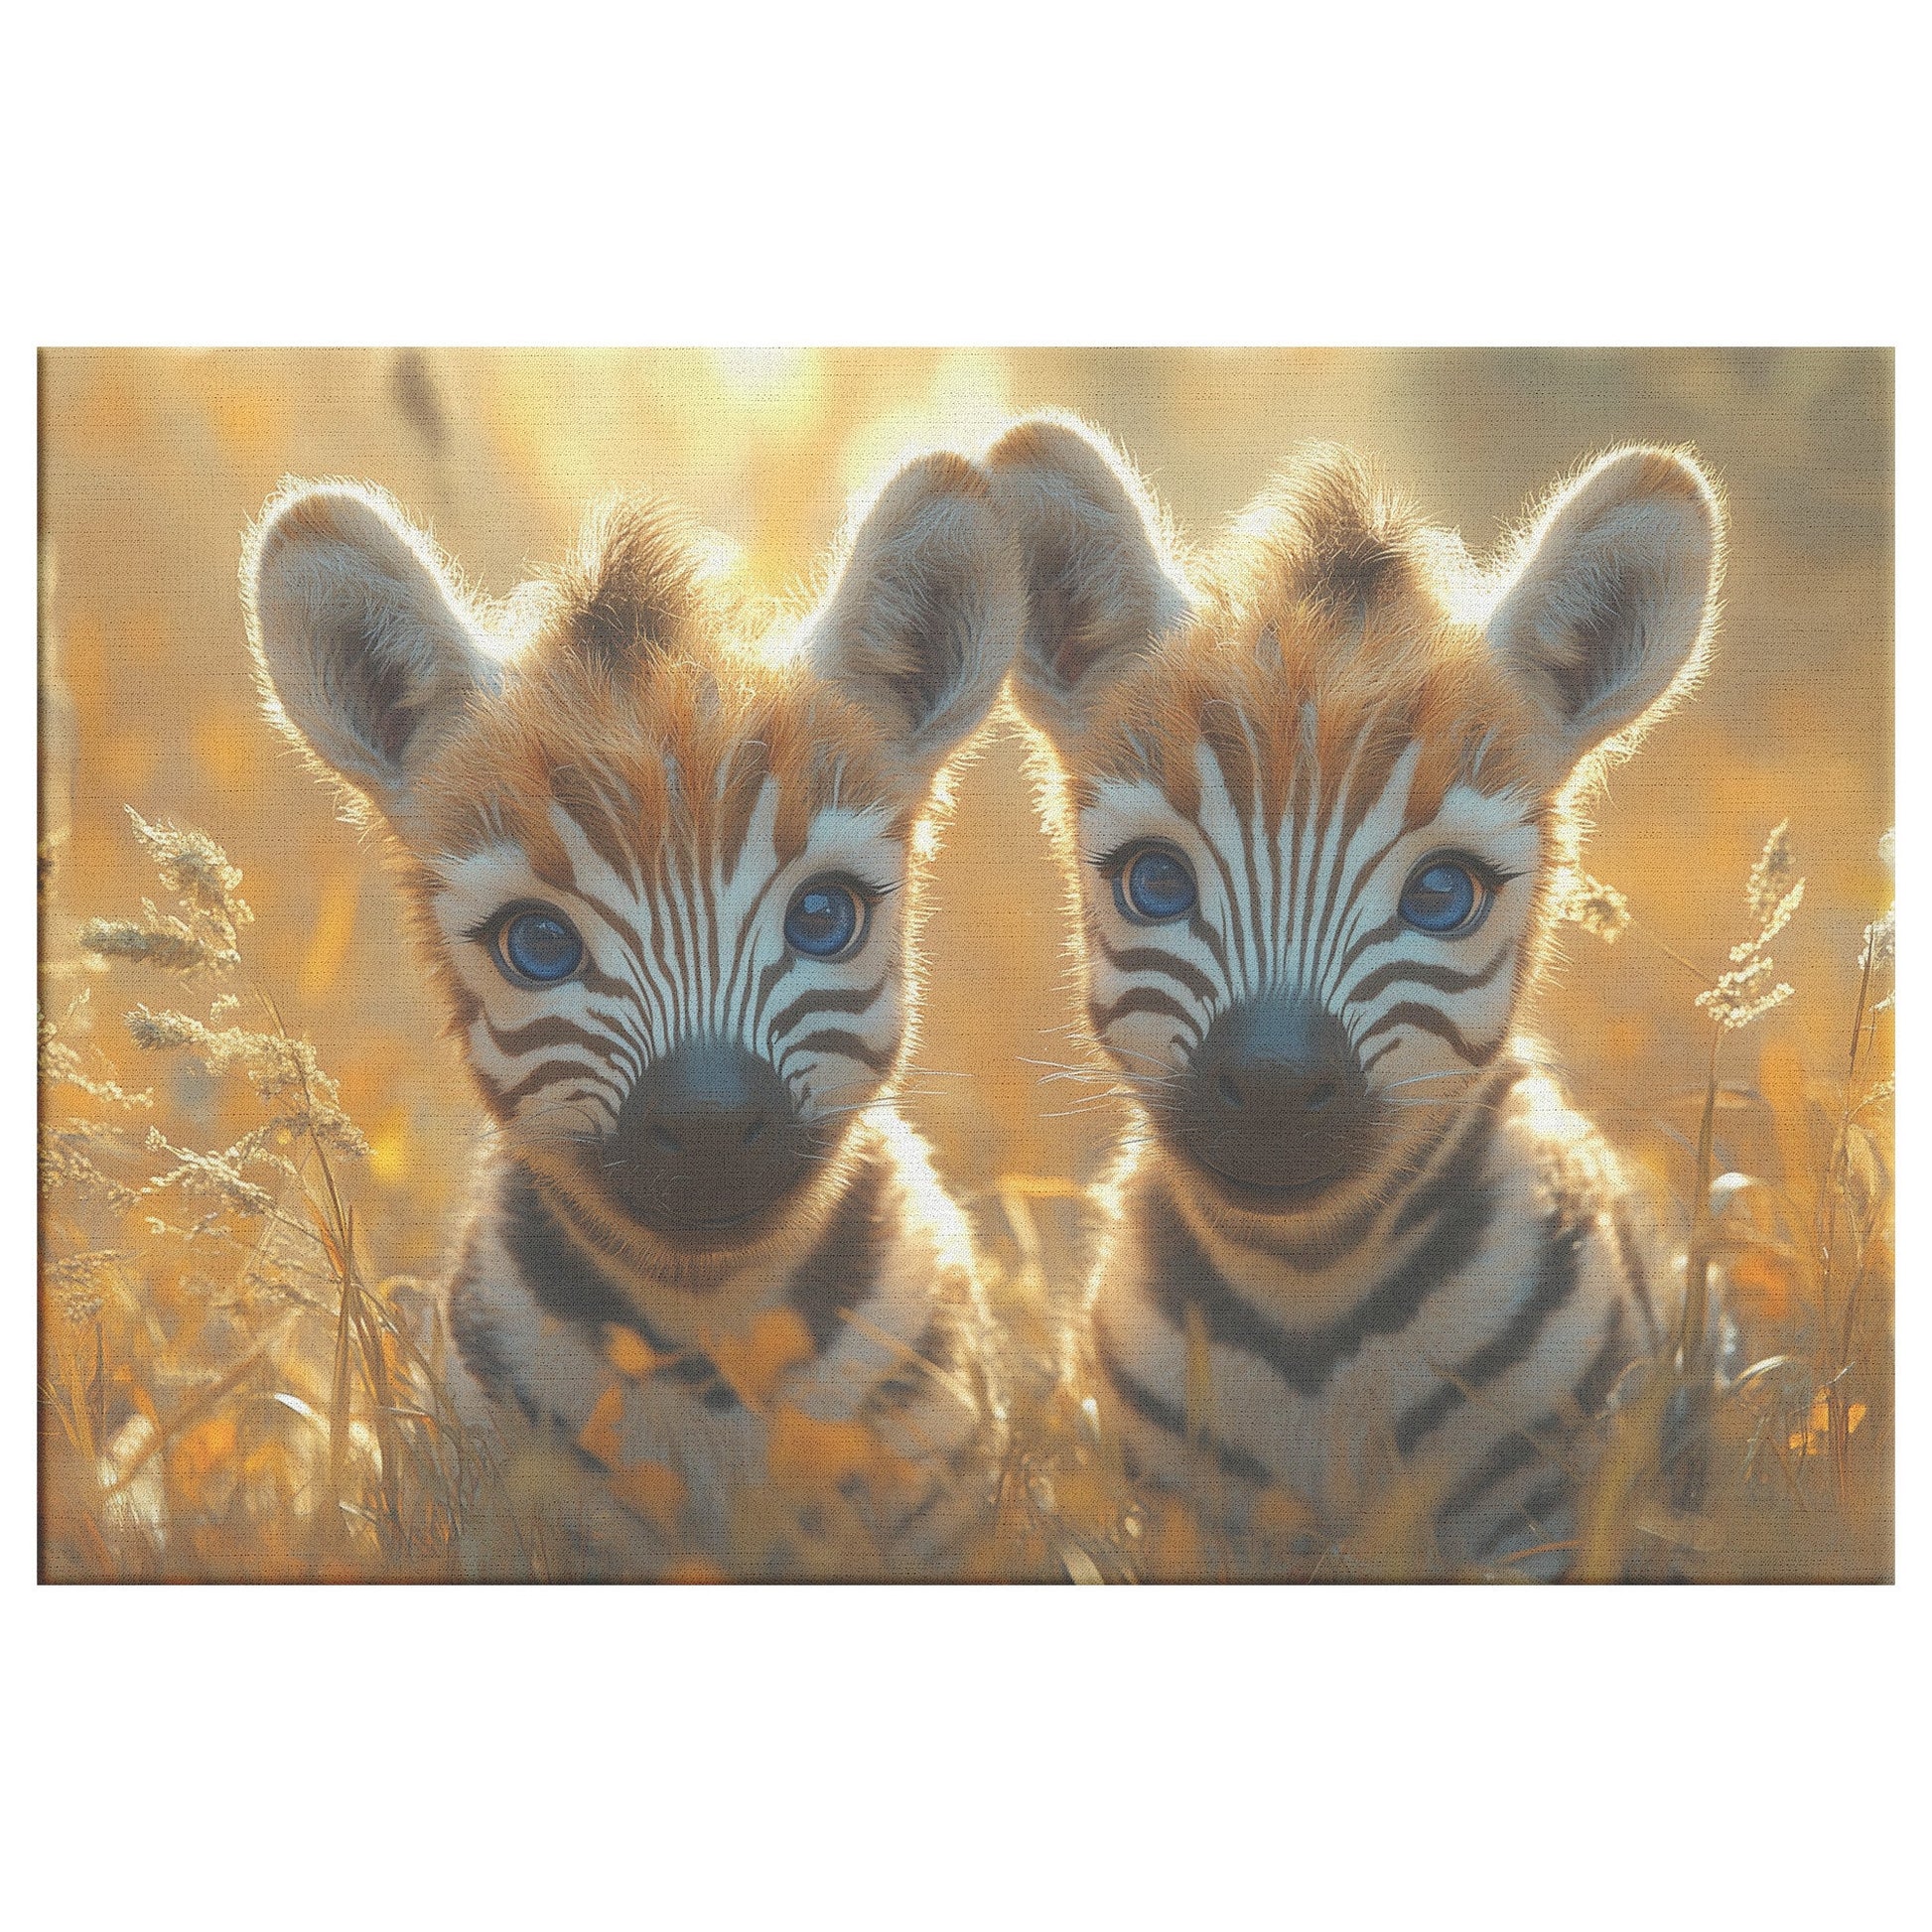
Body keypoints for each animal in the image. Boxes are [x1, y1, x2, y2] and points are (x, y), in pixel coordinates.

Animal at [242, 452, 1022, 1577]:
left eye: (823, 915)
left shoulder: (942, 1518)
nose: (708, 1126)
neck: (708, 1343)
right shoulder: (504, 1521)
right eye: (537, 943)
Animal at [987, 414, 1726, 1577]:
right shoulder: (1174, 1527)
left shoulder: (1538, 1524)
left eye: (1444, 894)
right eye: (1155, 881)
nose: (1274, 1087)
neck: (1308, 1306)